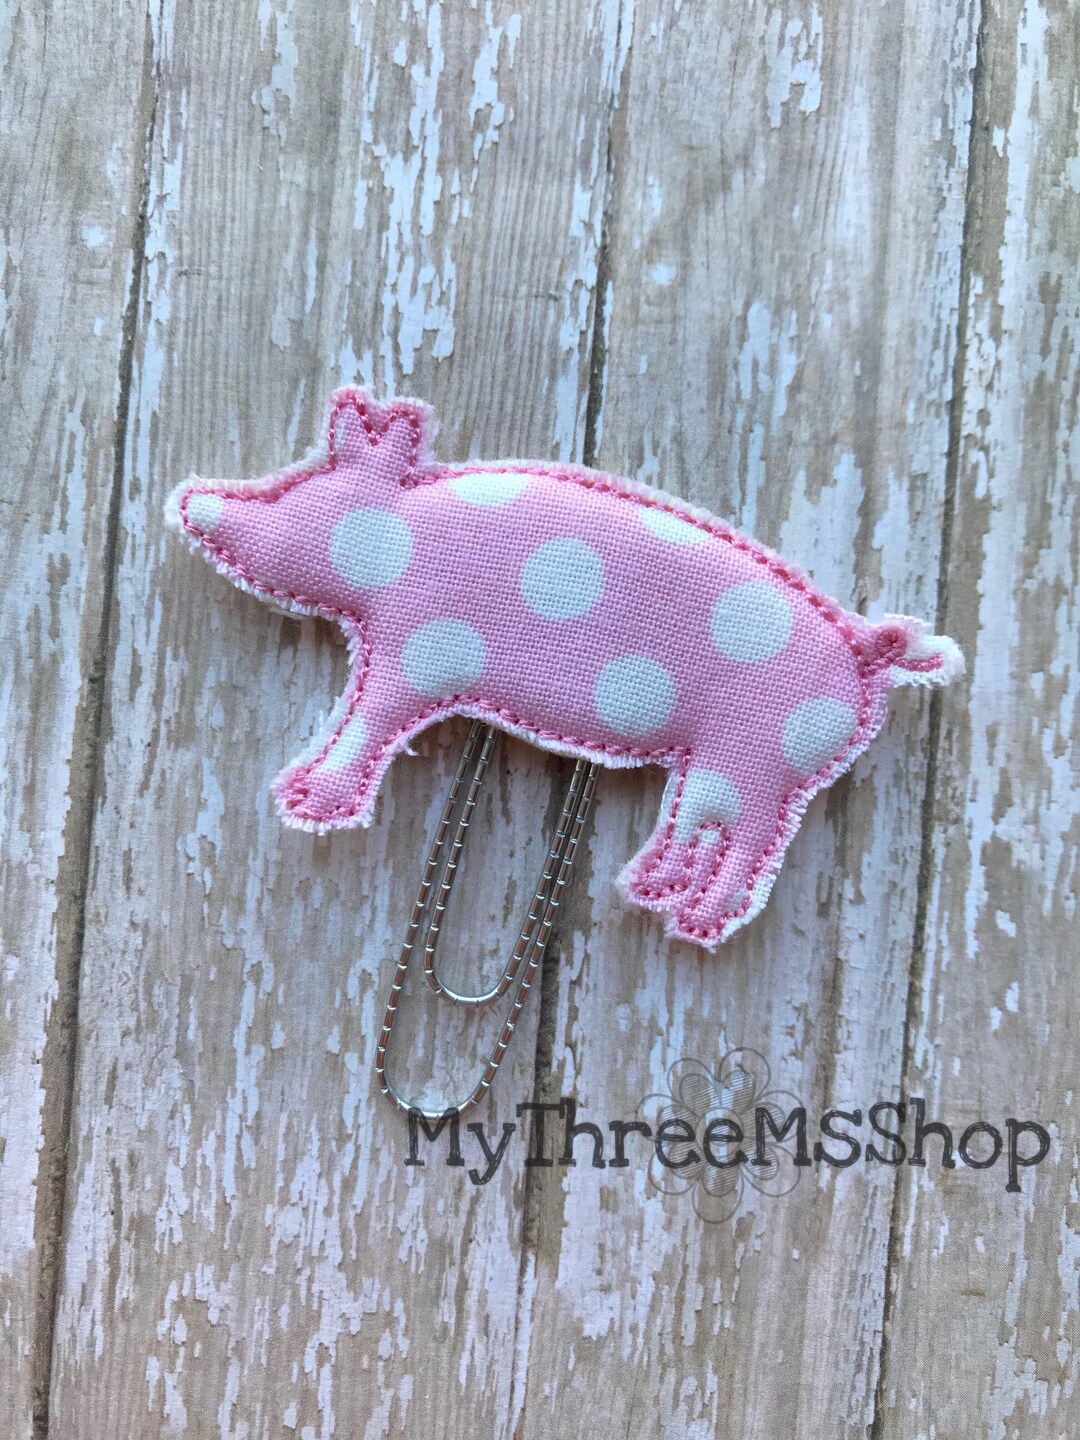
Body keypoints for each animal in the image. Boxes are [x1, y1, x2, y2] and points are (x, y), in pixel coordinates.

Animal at [166, 386, 963, 948]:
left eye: (289, 496)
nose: (197, 502)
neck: (397, 537)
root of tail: (867, 653)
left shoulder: (417, 658)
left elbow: (368, 727)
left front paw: (311, 801)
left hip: (756, 759)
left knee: (747, 845)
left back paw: (695, 918)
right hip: (721, 767)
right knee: (702, 827)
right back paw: (655, 890)